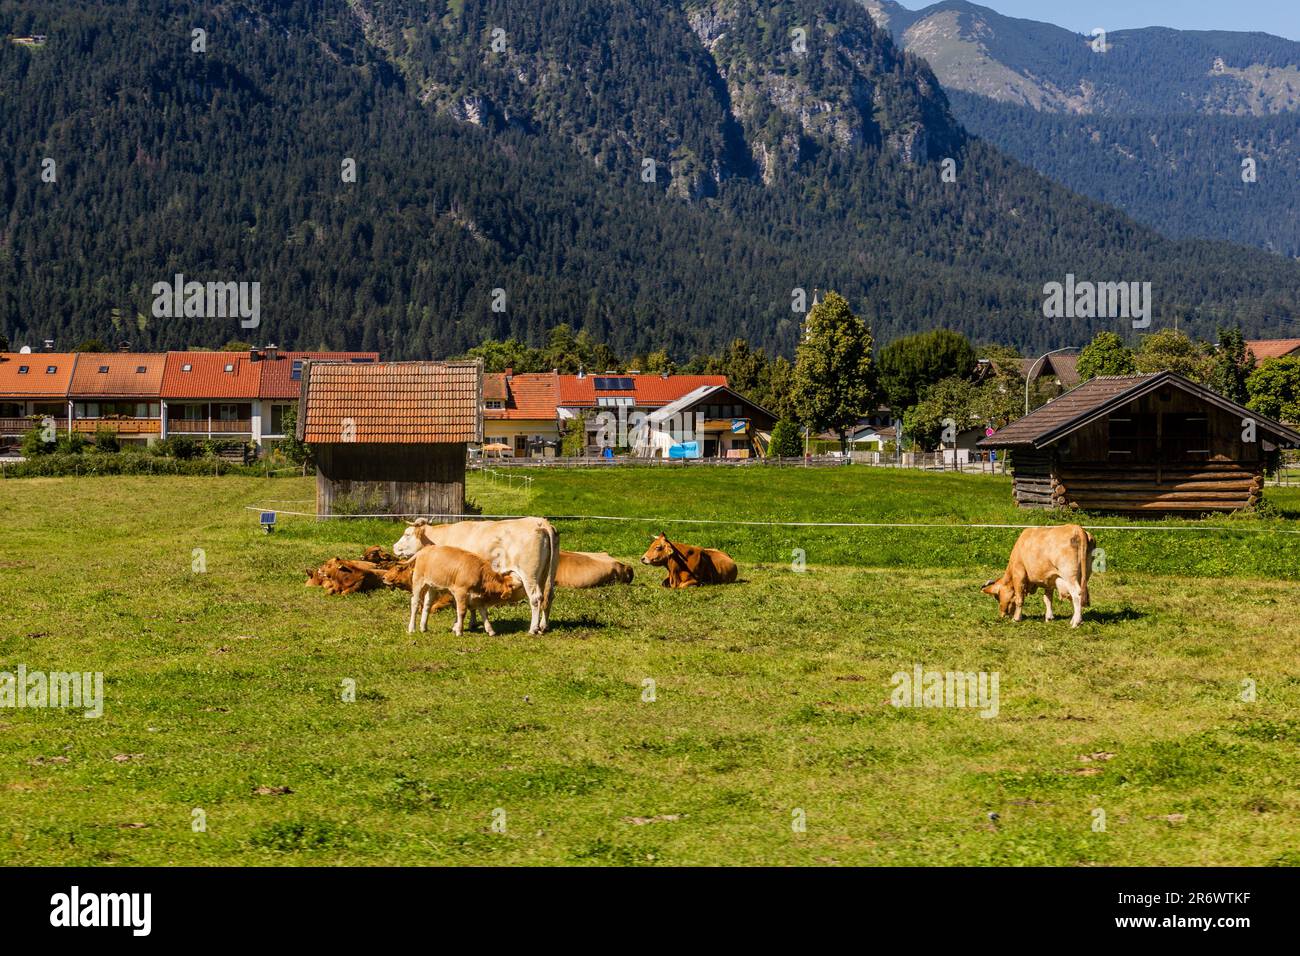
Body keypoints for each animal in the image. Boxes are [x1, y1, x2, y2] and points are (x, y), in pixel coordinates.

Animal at [393, 517, 558, 634]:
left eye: (407, 534)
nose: (394, 546)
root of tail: (540, 522)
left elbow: (458, 603)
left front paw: (457, 626)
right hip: (546, 575)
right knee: (548, 596)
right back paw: (543, 626)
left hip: (529, 576)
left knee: (535, 598)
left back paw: (533, 629)